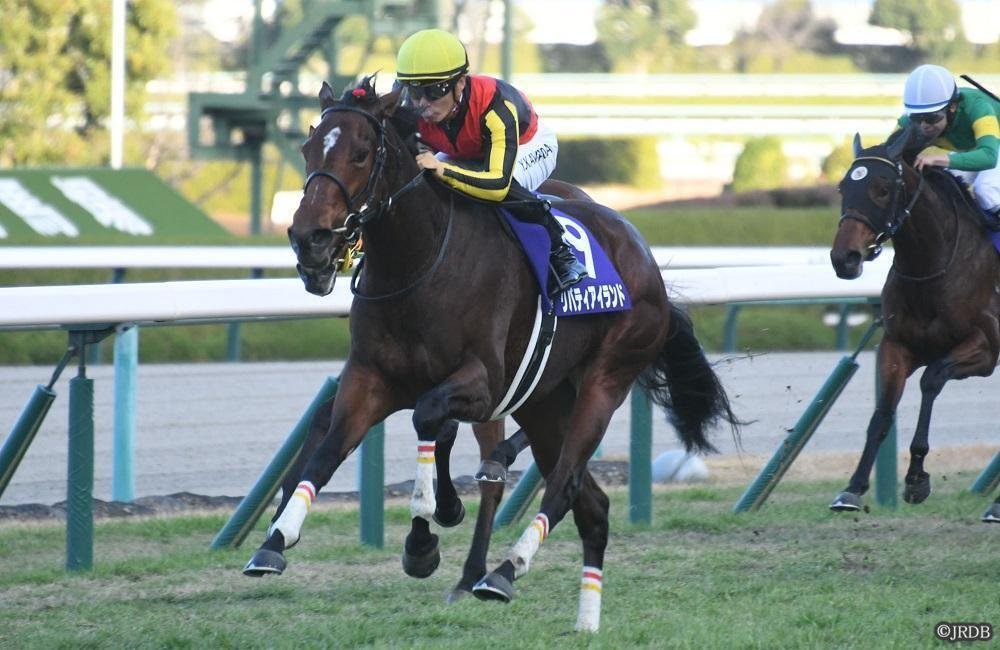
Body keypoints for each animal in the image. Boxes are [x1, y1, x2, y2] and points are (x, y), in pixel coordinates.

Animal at [243, 76, 740, 632]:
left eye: (360, 152)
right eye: (309, 148)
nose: (309, 239)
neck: (419, 262)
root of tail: (645, 258)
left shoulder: (483, 384)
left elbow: (429, 419)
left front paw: (424, 536)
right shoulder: (371, 378)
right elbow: (329, 446)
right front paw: (275, 540)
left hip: (604, 381)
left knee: (563, 484)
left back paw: (501, 573)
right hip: (544, 400)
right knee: (592, 505)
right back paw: (582, 619)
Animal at [829, 126, 1000, 523]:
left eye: (882, 188)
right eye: (843, 187)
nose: (844, 258)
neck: (931, 268)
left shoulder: (985, 348)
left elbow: (931, 379)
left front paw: (917, 479)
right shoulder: (897, 345)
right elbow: (882, 414)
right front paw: (852, 488)